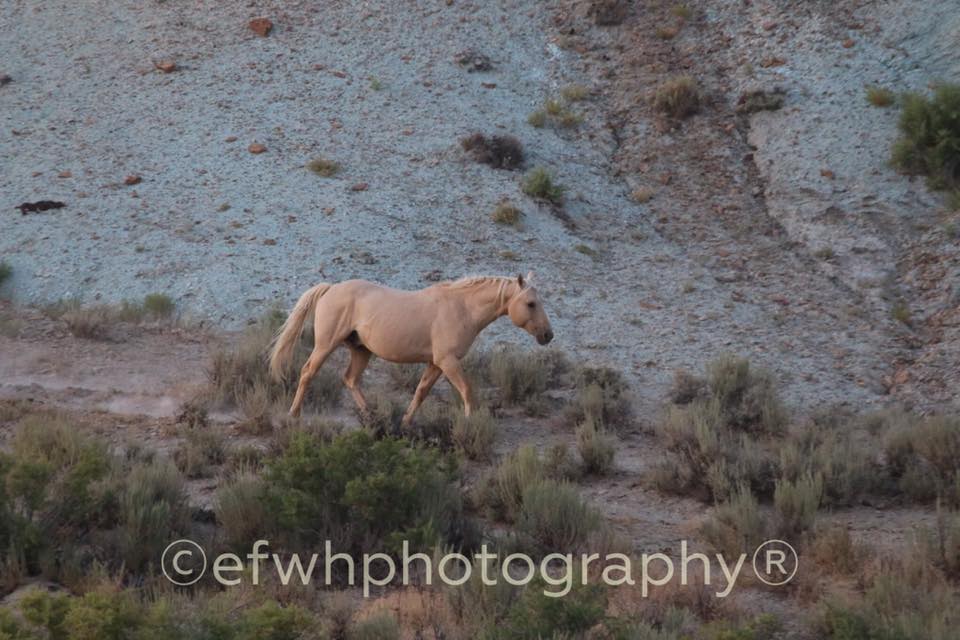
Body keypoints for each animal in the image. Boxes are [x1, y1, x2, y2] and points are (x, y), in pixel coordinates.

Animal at [268, 273, 554, 425]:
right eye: (530, 303)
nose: (548, 335)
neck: (462, 308)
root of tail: (330, 288)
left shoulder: (436, 364)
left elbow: (421, 392)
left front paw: (405, 422)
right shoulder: (448, 361)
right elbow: (466, 390)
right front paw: (469, 422)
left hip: (361, 350)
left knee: (350, 379)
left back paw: (372, 416)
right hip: (326, 345)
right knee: (308, 372)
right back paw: (294, 414)